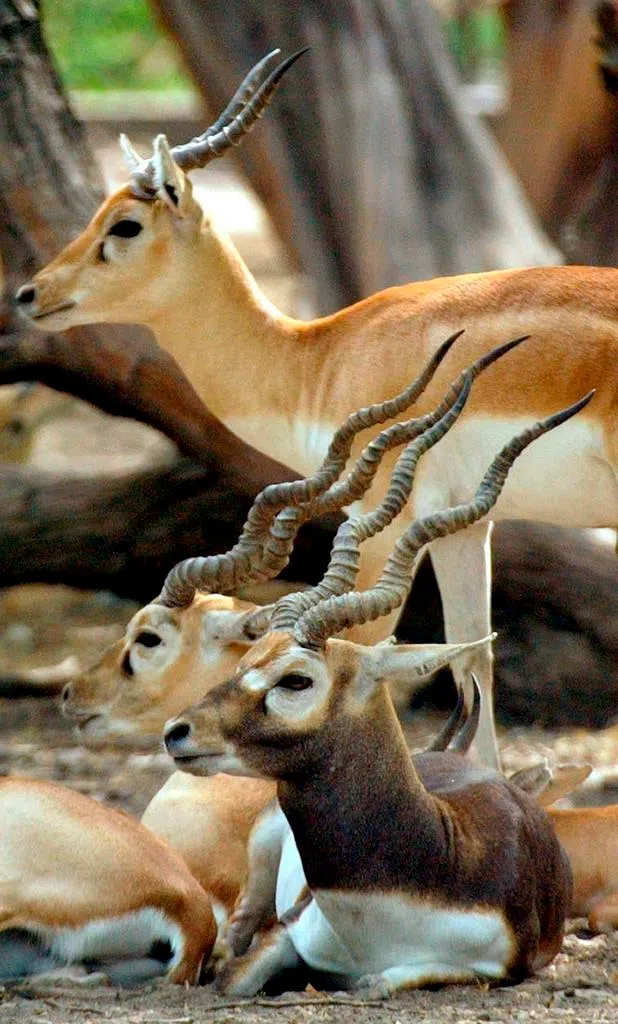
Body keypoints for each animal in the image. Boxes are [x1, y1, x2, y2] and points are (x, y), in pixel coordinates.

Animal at [14, 50, 618, 769]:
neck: (316, 355)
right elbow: (473, 659)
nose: (30, 293)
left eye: (125, 225)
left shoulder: (381, 518)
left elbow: (365, 650)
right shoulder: (465, 524)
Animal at [160, 402, 586, 998]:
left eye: (296, 680)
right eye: (247, 661)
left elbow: (376, 982)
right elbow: (235, 979)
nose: (177, 732)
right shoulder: (289, 930)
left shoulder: (496, 967)